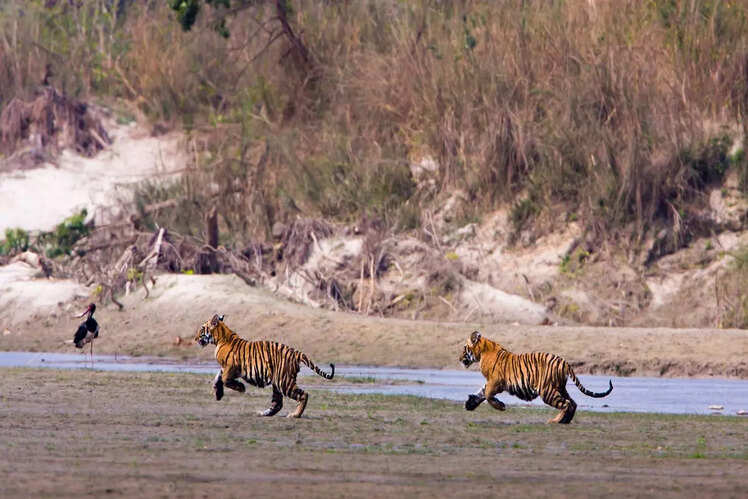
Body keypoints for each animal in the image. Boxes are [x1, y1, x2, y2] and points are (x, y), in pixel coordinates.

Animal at [195, 314, 335, 418]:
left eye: (202, 329)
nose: (195, 339)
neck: (220, 339)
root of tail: (295, 352)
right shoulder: (224, 367)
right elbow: (218, 378)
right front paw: (218, 393)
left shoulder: (231, 367)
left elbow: (224, 379)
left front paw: (241, 388)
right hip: (277, 382)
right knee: (277, 403)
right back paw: (264, 413)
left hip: (284, 382)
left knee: (304, 395)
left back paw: (295, 415)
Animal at [459, 330, 612, 424]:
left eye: (464, 348)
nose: (459, 359)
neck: (482, 352)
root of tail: (564, 362)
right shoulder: (491, 382)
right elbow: (482, 392)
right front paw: (470, 404)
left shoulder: (496, 382)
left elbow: (488, 395)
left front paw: (500, 406)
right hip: (559, 387)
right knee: (573, 403)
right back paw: (564, 421)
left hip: (547, 391)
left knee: (566, 404)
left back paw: (555, 421)